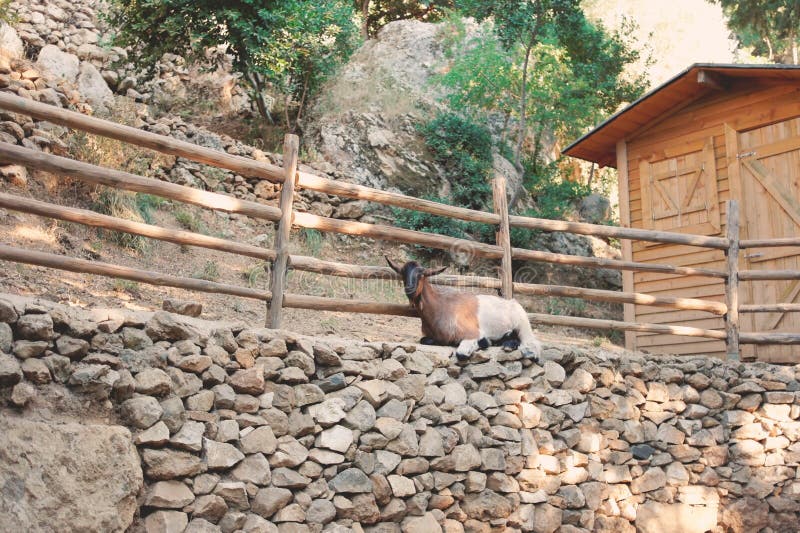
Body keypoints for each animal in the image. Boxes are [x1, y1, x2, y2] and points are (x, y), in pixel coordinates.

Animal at [386, 257, 541, 361]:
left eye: (421, 275)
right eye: (403, 273)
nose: (409, 289)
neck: (440, 307)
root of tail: (513, 303)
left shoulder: (472, 332)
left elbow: (462, 352)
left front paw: (484, 342)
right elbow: (425, 340)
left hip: (522, 324)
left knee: (532, 343)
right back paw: (507, 342)